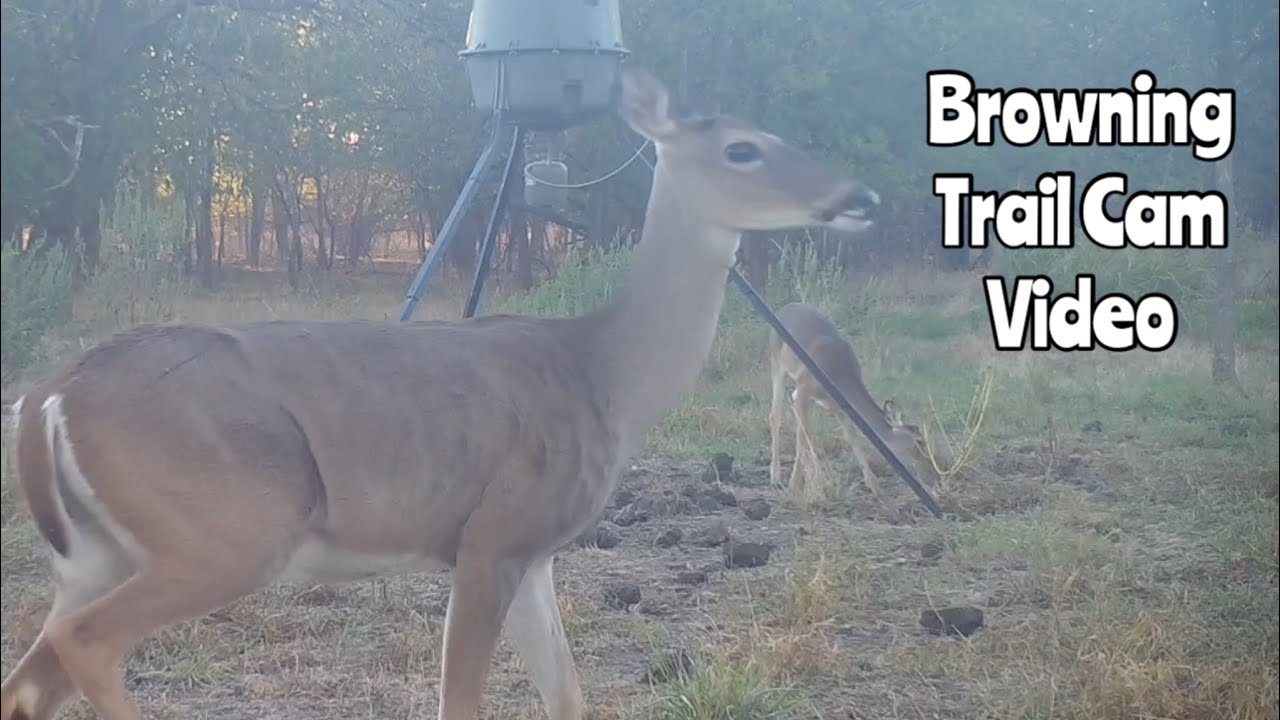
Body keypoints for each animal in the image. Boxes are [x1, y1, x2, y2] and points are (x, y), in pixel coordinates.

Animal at [0, 67, 881, 720]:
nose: (861, 198)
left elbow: (568, 692)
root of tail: (49, 395)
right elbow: (463, 701)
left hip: (96, 554)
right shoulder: (492, 534)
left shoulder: (535, 551)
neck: (605, 374)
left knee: (28, 682)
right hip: (224, 532)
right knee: (86, 645)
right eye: (744, 148)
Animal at [768, 302, 938, 503]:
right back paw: (776, 476)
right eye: (919, 441)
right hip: (776, 363)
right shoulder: (804, 389)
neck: (841, 377)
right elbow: (801, 437)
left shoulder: (838, 405)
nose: (931, 475)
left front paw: (875, 487)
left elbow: (851, 438)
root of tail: (785, 308)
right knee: (776, 415)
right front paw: (793, 487)